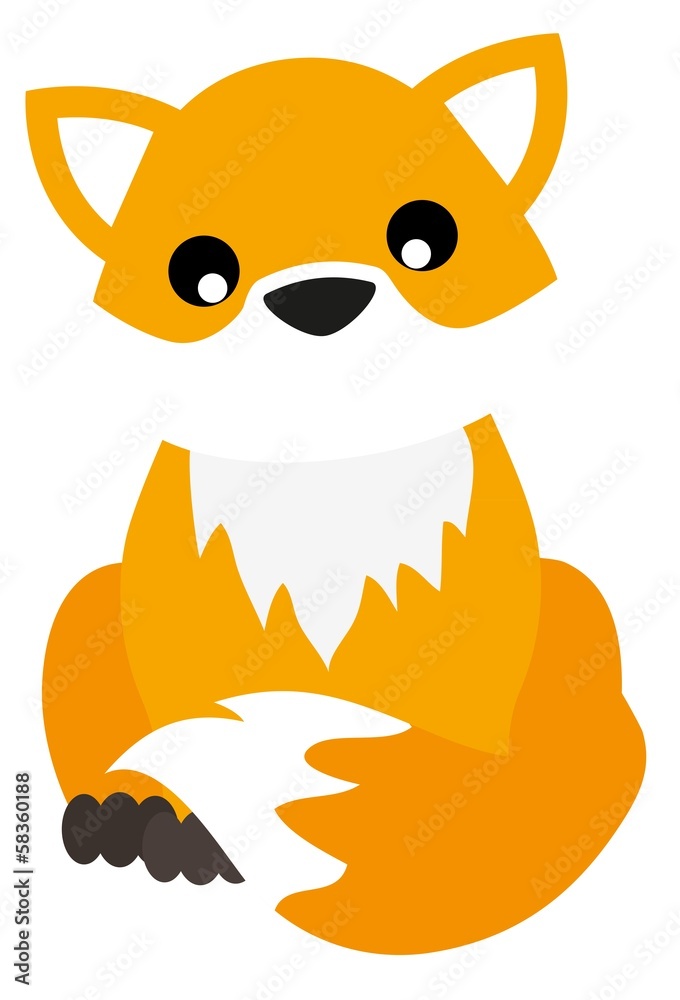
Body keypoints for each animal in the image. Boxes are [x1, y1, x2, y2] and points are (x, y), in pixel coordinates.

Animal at [27, 34, 646, 955]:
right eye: (200, 273)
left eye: (425, 238)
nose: (320, 299)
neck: (323, 471)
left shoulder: (471, 636)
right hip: (86, 604)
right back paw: (142, 815)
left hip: (573, 604)